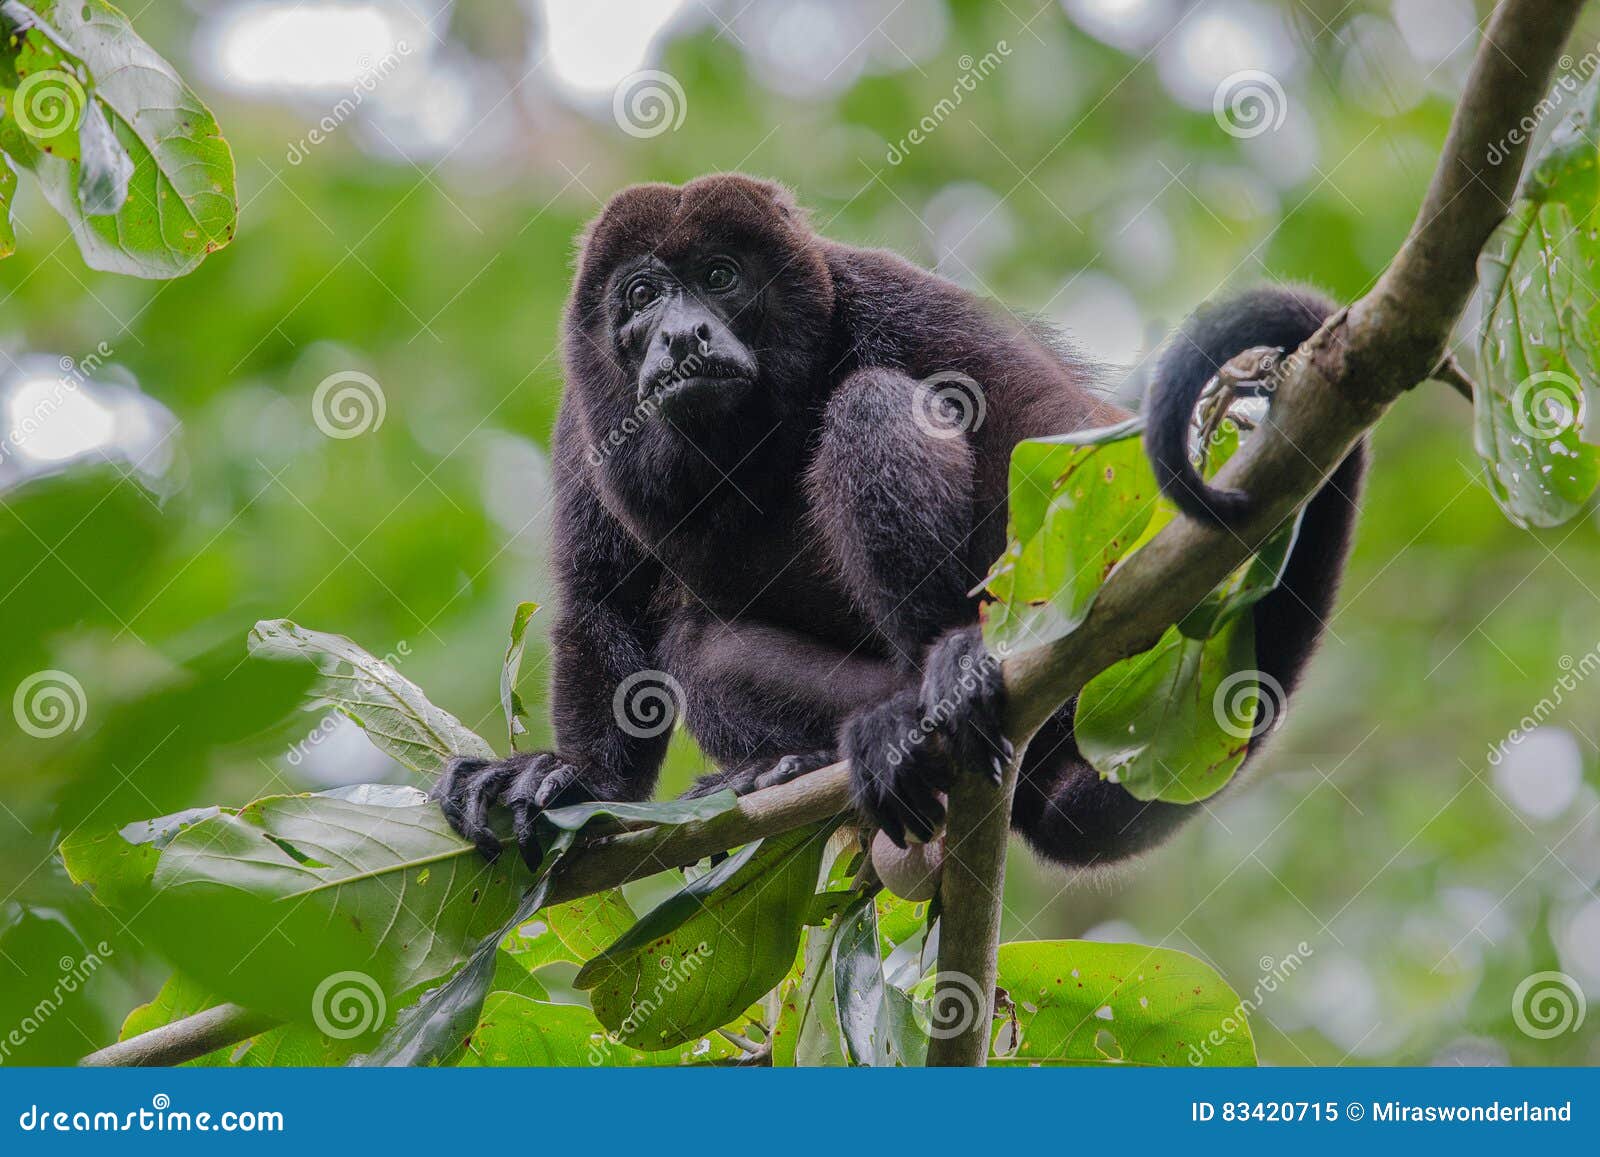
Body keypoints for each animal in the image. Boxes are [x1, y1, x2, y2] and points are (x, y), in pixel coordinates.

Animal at [434, 173, 1366, 871]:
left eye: (721, 277)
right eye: (642, 294)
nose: (681, 334)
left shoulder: (886, 294)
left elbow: (1045, 421)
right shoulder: (585, 420)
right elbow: (604, 601)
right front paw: (568, 780)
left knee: (874, 405)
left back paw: (939, 677)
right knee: (698, 646)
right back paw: (813, 757)